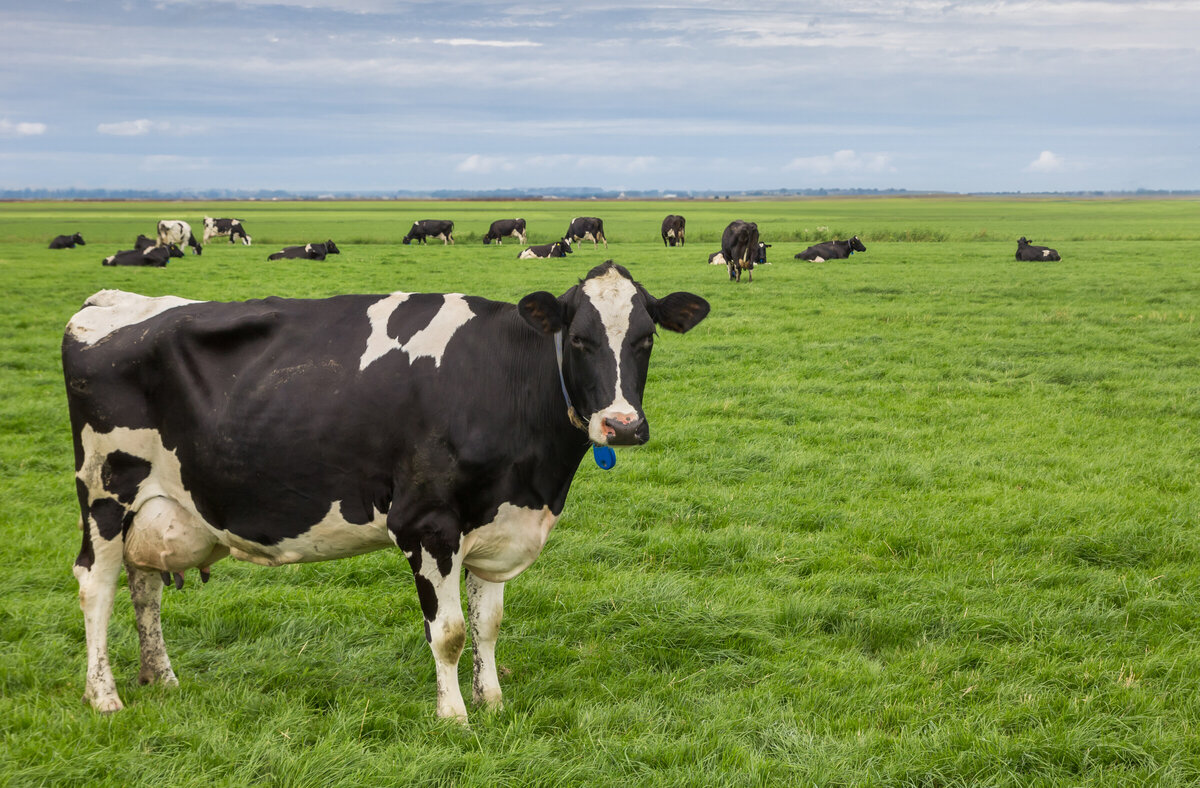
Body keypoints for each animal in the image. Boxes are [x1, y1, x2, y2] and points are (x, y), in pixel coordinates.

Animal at [63, 261, 709, 721]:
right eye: (578, 340)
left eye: (646, 339)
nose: (622, 425)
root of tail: (111, 300)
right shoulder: (427, 523)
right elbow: (448, 633)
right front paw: (454, 717)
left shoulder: (495, 521)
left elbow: (489, 625)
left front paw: (492, 702)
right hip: (104, 492)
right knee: (96, 583)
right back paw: (104, 695)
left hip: (154, 506)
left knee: (144, 584)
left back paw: (162, 678)